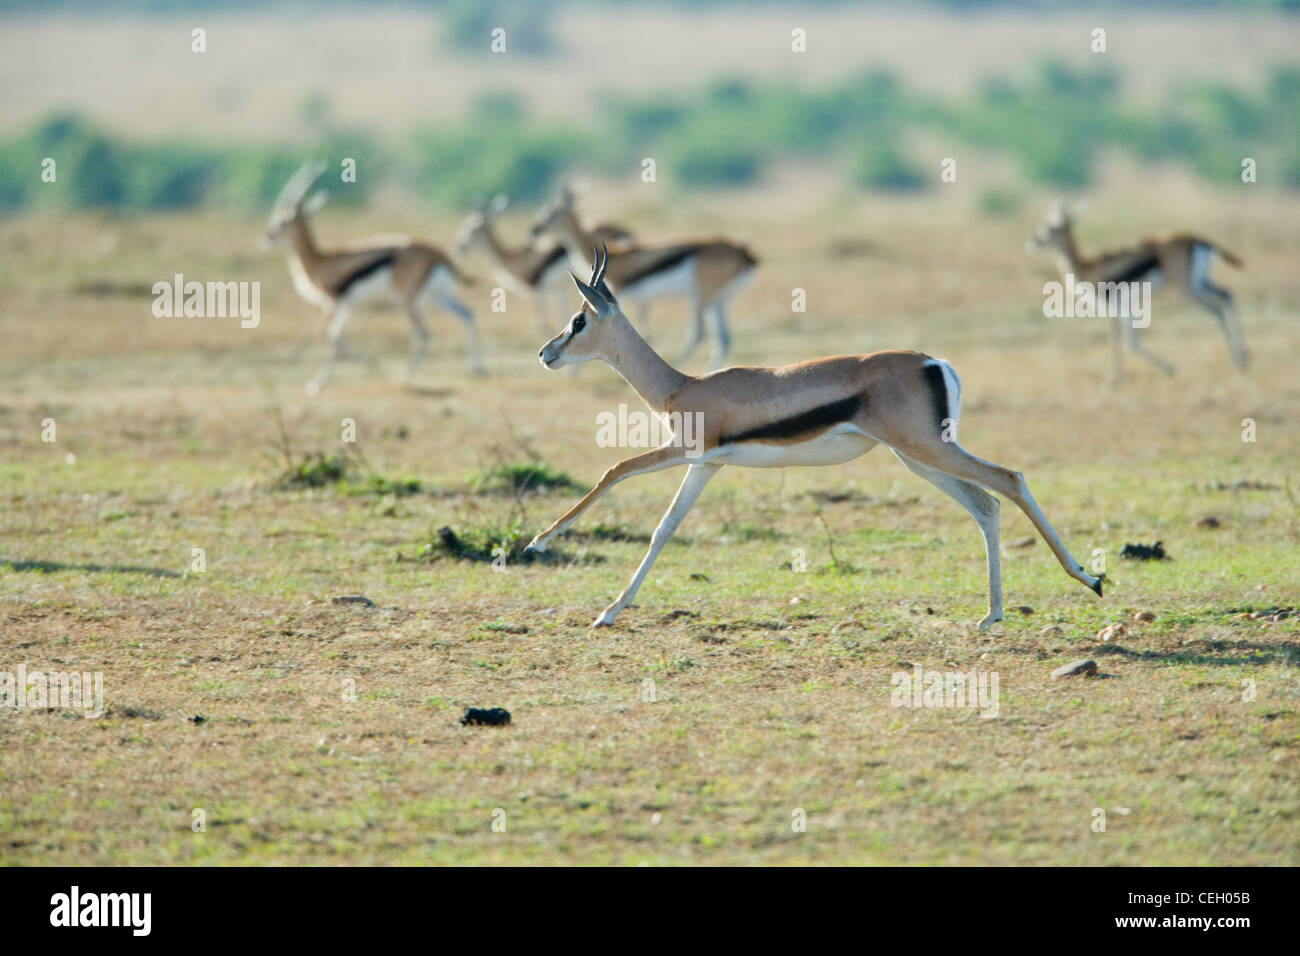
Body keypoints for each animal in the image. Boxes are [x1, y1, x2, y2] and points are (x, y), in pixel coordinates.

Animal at [262, 161, 484, 396]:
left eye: (282, 221)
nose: (267, 238)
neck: (319, 262)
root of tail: (439, 255)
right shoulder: (347, 305)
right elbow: (334, 336)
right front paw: (335, 375)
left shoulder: (334, 303)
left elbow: (328, 335)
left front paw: (320, 382)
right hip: (437, 298)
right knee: (467, 314)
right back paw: (477, 368)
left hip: (408, 300)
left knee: (423, 333)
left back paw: (408, 376)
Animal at [453, 194, 636, 334]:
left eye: (472, 229)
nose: (459, 247)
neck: (516, 258)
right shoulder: (555, 290)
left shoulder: (539, 291)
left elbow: (541, 324)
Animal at [525, 248, 1103, 630]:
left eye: (578, 321)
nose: (546, 353)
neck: (679, 386)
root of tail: (935, 363)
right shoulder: (707, 464)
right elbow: (664, 529)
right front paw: (611, 609)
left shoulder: (686, 452)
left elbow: (615, 471)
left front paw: (541, 543)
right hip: (918, 458)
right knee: (986, 504)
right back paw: (994, 613)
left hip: (928, 450)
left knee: (1010, 479)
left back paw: (1087, 578)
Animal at [531, 186, 757, 368]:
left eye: (550, 213)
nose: (535, 230)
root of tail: (745, 253)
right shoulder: (638, 300)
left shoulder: (623, 295)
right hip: (719, 301)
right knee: (724, 338)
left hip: (702, 297)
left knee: (699, 333)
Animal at [1026, 198, 1247, 382]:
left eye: (1050, 228)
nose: (1033, 241)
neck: (1087, 266)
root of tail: (1196, 239)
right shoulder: (1124, 306)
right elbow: (1129, 341)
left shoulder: (1111, 306)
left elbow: (1122, 340)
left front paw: (1117, 380)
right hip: (1200, 285)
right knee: (1227, 296)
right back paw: (1244, 358)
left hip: (1186, 291)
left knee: (1218, 307)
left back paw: (1240, 359)